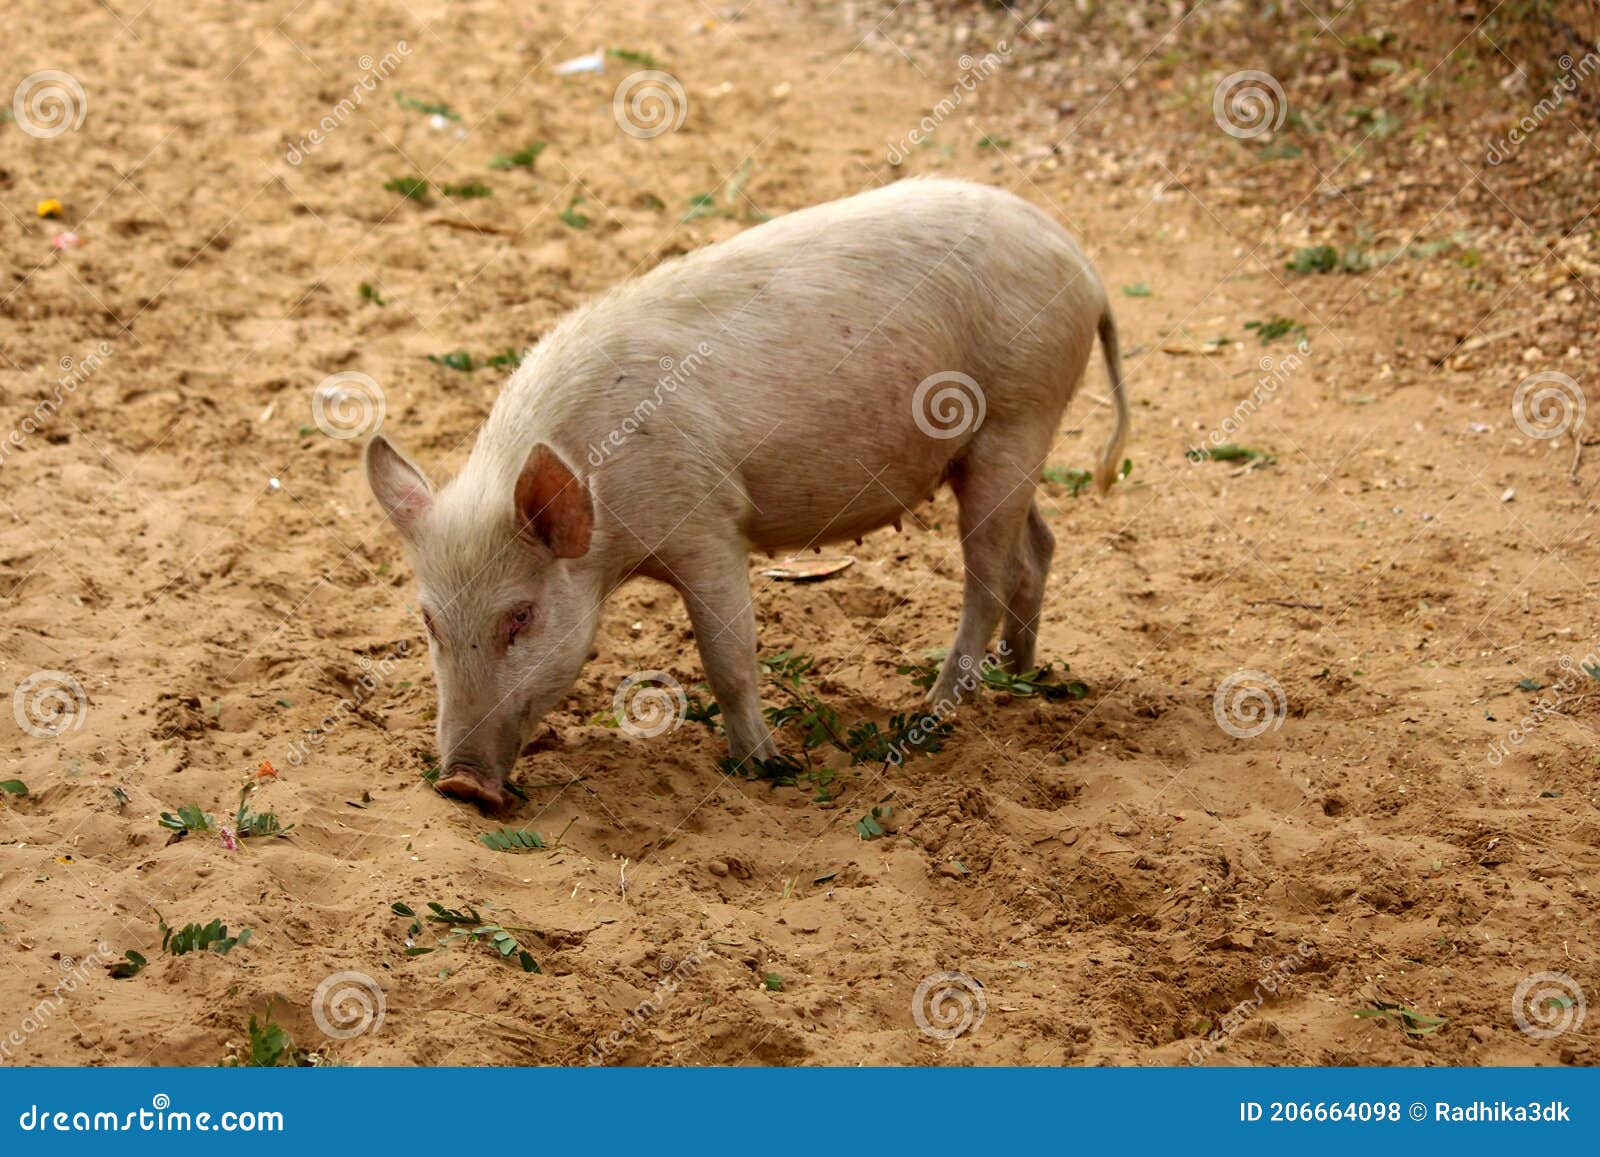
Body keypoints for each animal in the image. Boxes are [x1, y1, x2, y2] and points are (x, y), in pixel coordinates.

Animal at [366, 177, 1128, 809]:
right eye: (428, 620)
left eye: (520, 616)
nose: (461, 783)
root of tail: (1087, 269)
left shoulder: (707, 522)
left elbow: (728, 657)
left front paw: (766, 767)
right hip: (1000, 446)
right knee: (1038, 548)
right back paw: (1022, 679)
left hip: (1018, 418)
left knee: (990, 578)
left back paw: (927, 715)